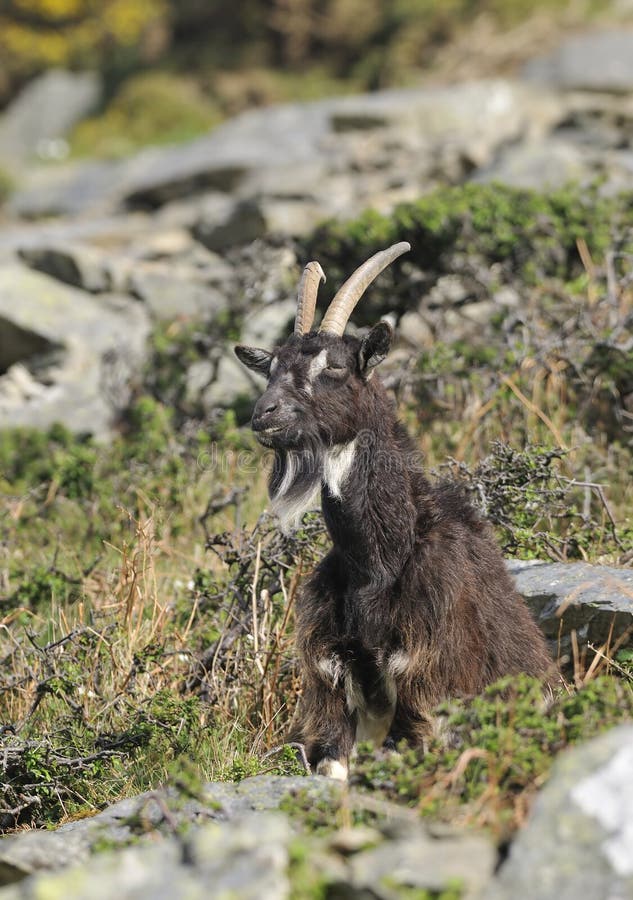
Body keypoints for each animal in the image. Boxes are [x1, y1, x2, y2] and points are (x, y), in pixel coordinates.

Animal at [235, 243, 553, 780]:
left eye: (335, 367)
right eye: (271, 366)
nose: (264, 415)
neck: (379, 560)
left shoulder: (425, 682)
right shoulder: (330, 684)